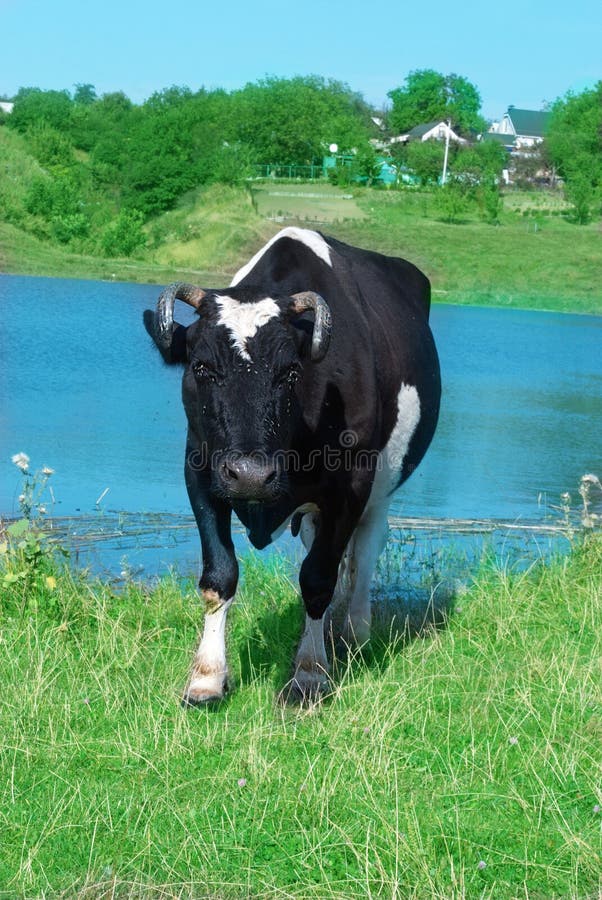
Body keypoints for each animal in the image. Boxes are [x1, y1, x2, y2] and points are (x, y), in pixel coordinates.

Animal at [144, 227, 441, 705]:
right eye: (202, 367)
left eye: (290, 373)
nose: (250, 474)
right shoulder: (200, 474)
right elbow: (219, 574)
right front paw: (206, 678)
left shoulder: (349, 488)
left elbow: (318, 580)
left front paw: (309, 674)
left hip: (380, 490)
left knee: (366, 550)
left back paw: (355, 630)